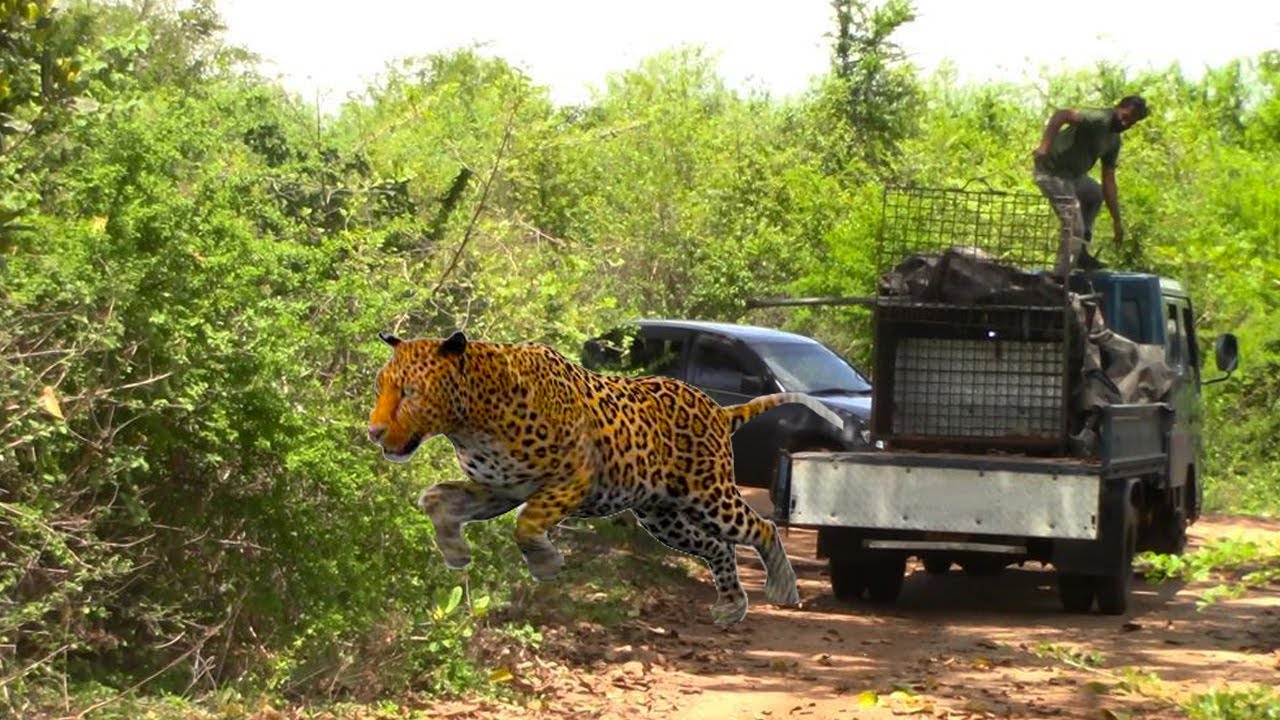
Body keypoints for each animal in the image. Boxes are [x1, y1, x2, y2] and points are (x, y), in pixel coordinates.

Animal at [366, 330, 846, 624]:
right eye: (380, 388)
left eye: (409, 392)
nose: (373, 432)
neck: (470, 421)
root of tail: (718, 409)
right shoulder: (499, 487)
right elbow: (436, 499)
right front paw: (455, 552)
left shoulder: (570, 478)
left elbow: (527, 523)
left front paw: (545, 563)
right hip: (663, 517)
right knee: (718, 547)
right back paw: (730, 604)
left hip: (710, 495)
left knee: (760, 528)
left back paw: (782, 588)